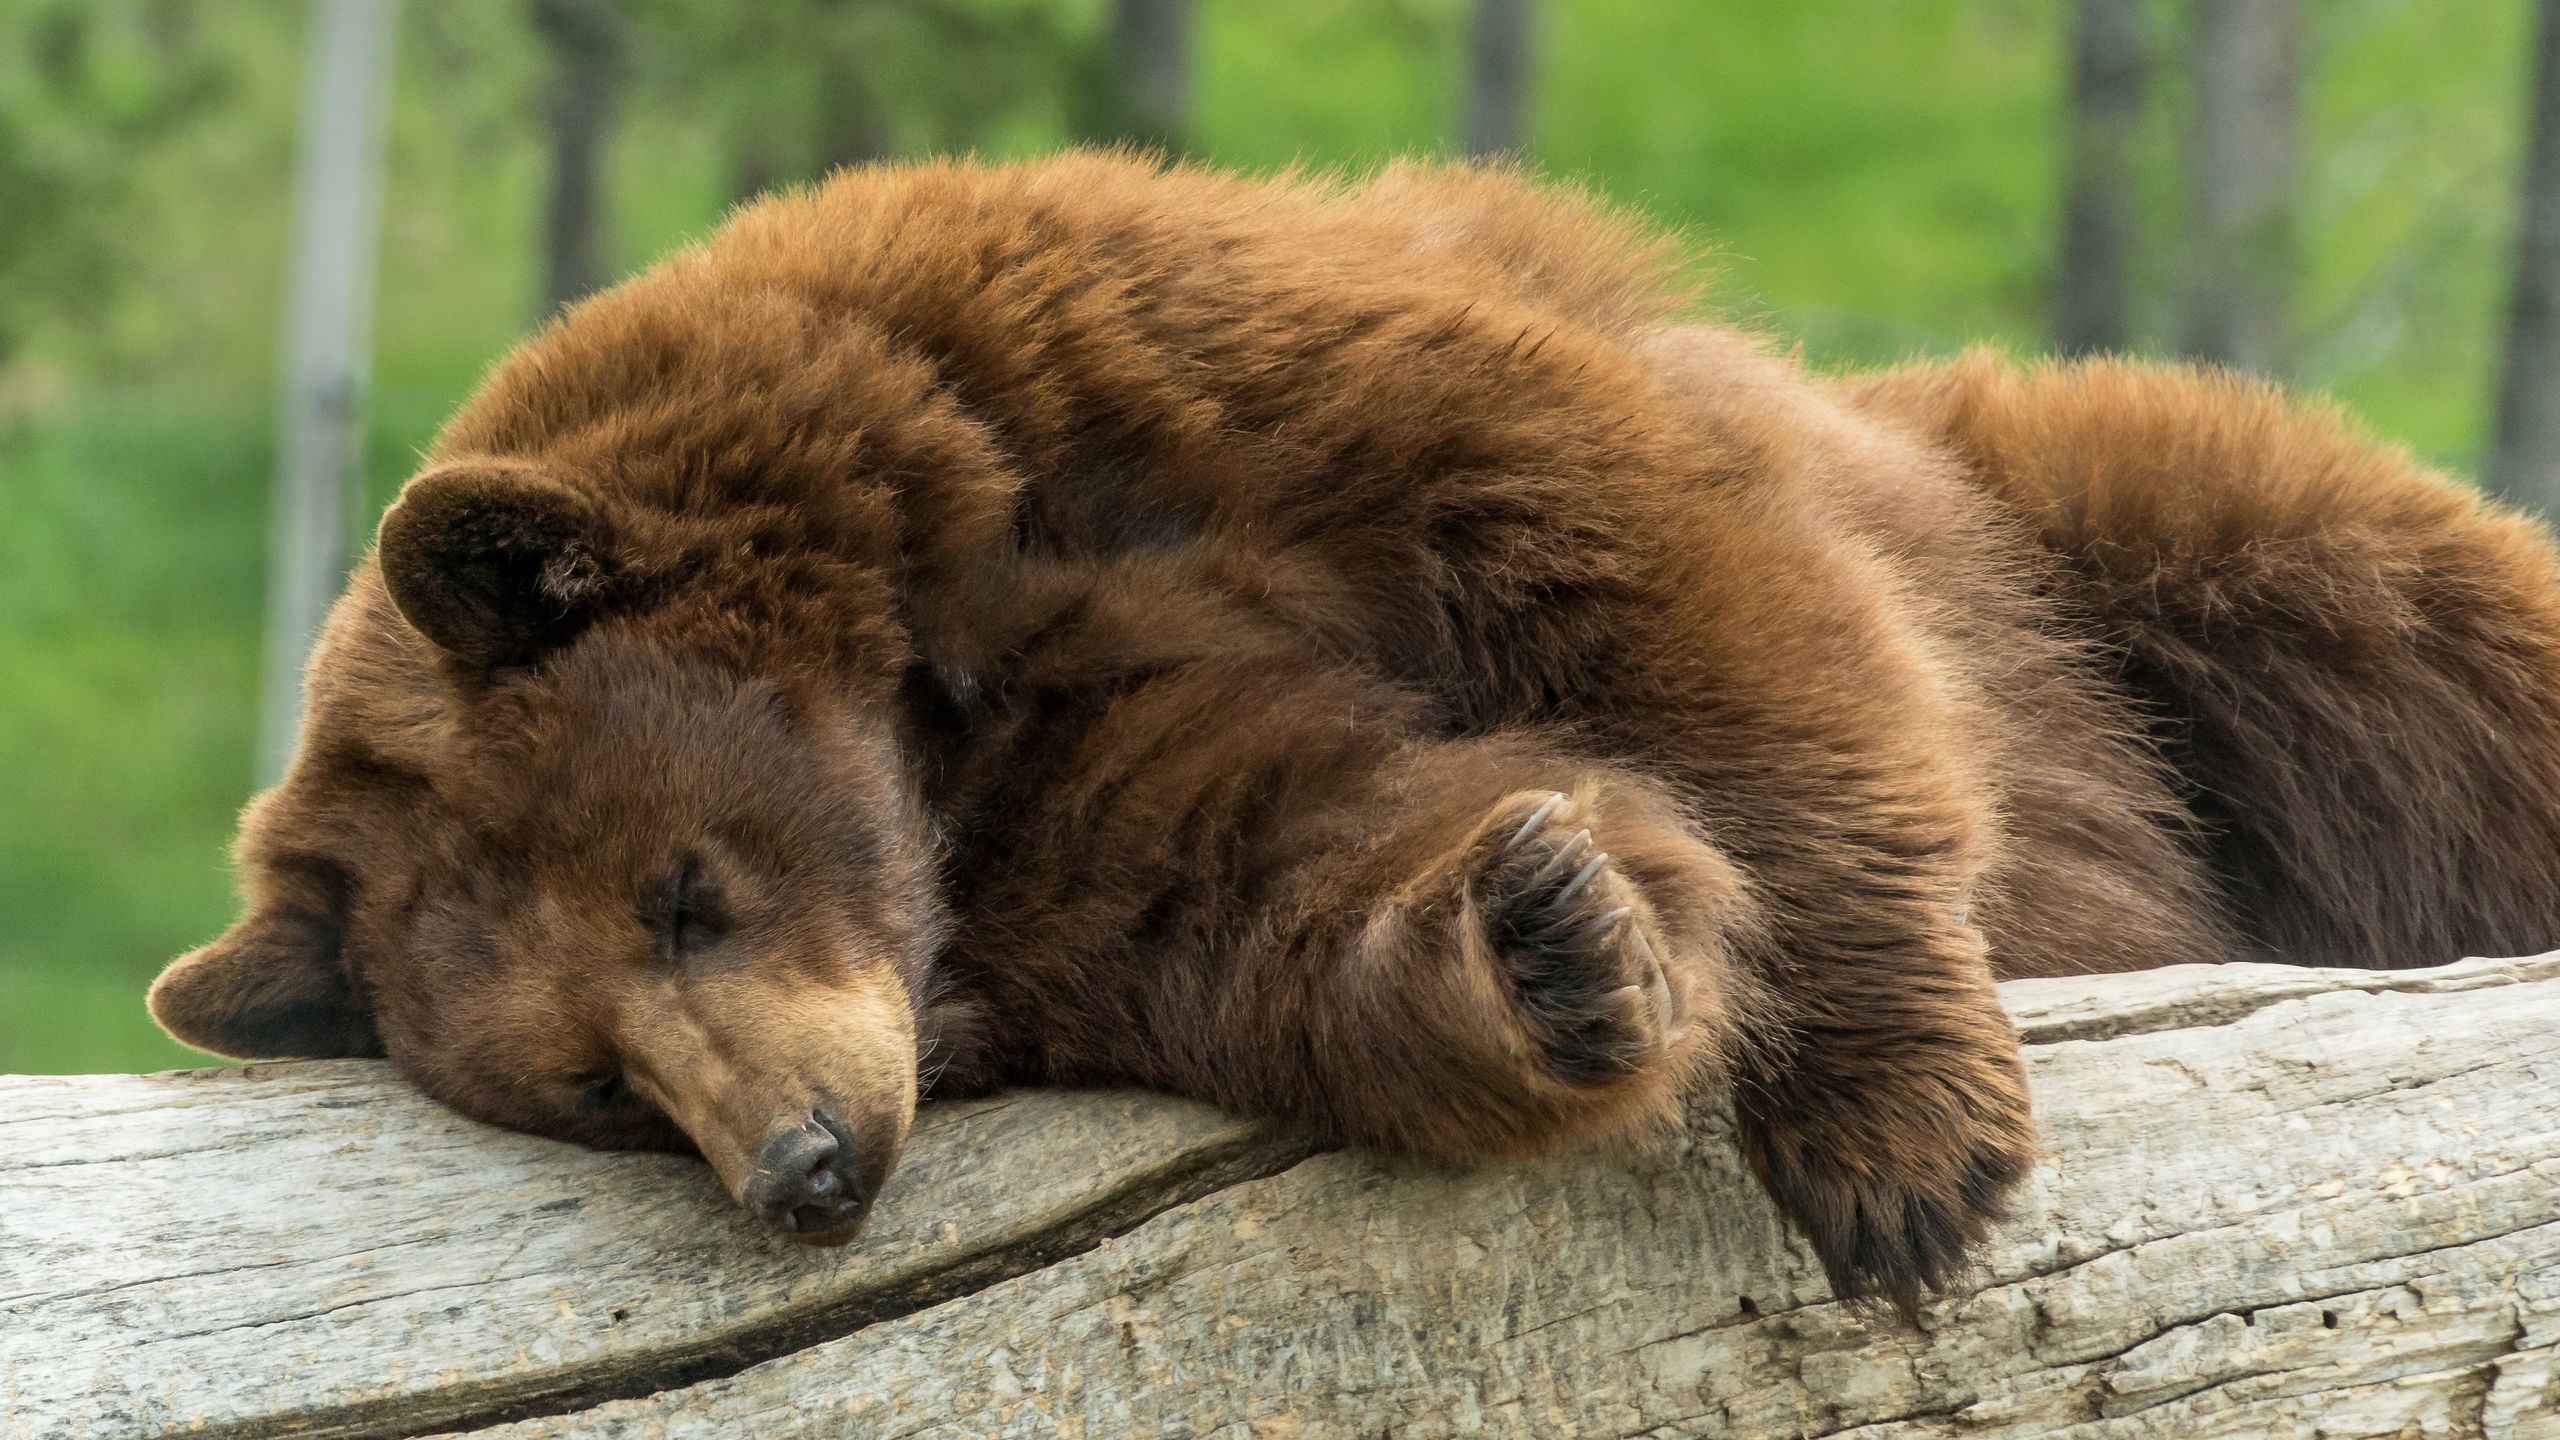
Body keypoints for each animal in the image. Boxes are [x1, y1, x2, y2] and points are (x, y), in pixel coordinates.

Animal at [147, 154, 2560, 1315]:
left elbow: (1660, 568)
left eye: (680, 887)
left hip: (2090, 543)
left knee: (2369, 605)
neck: (941, 698)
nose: (806, 1168)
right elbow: (1295, 878)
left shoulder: (1163, 375)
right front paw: (1555, 934)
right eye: (595, 1091)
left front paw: (1897, 1154)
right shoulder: (1074, 834)